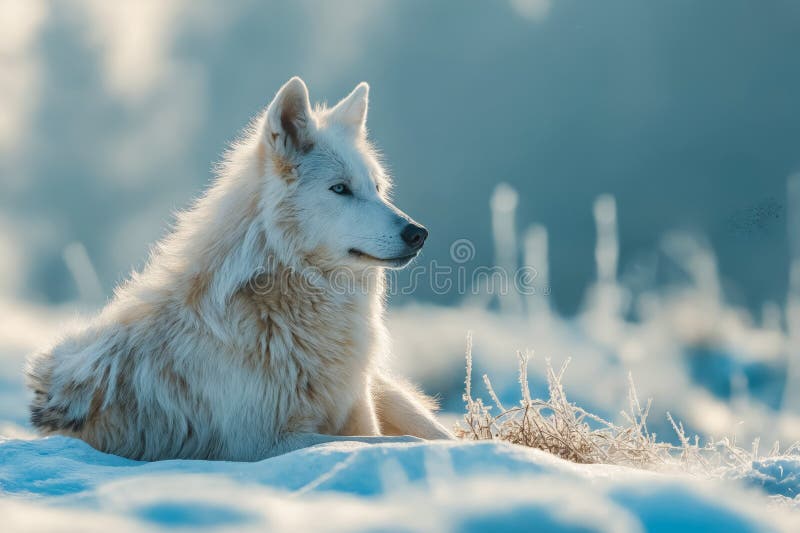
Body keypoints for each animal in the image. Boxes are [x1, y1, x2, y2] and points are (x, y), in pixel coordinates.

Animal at [26, 77, 452, 461]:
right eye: (340, 189)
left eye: (377, 188)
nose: (418, 233)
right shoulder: (263, 444)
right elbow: (387, 443)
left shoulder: (357, 411)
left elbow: (392, 437)